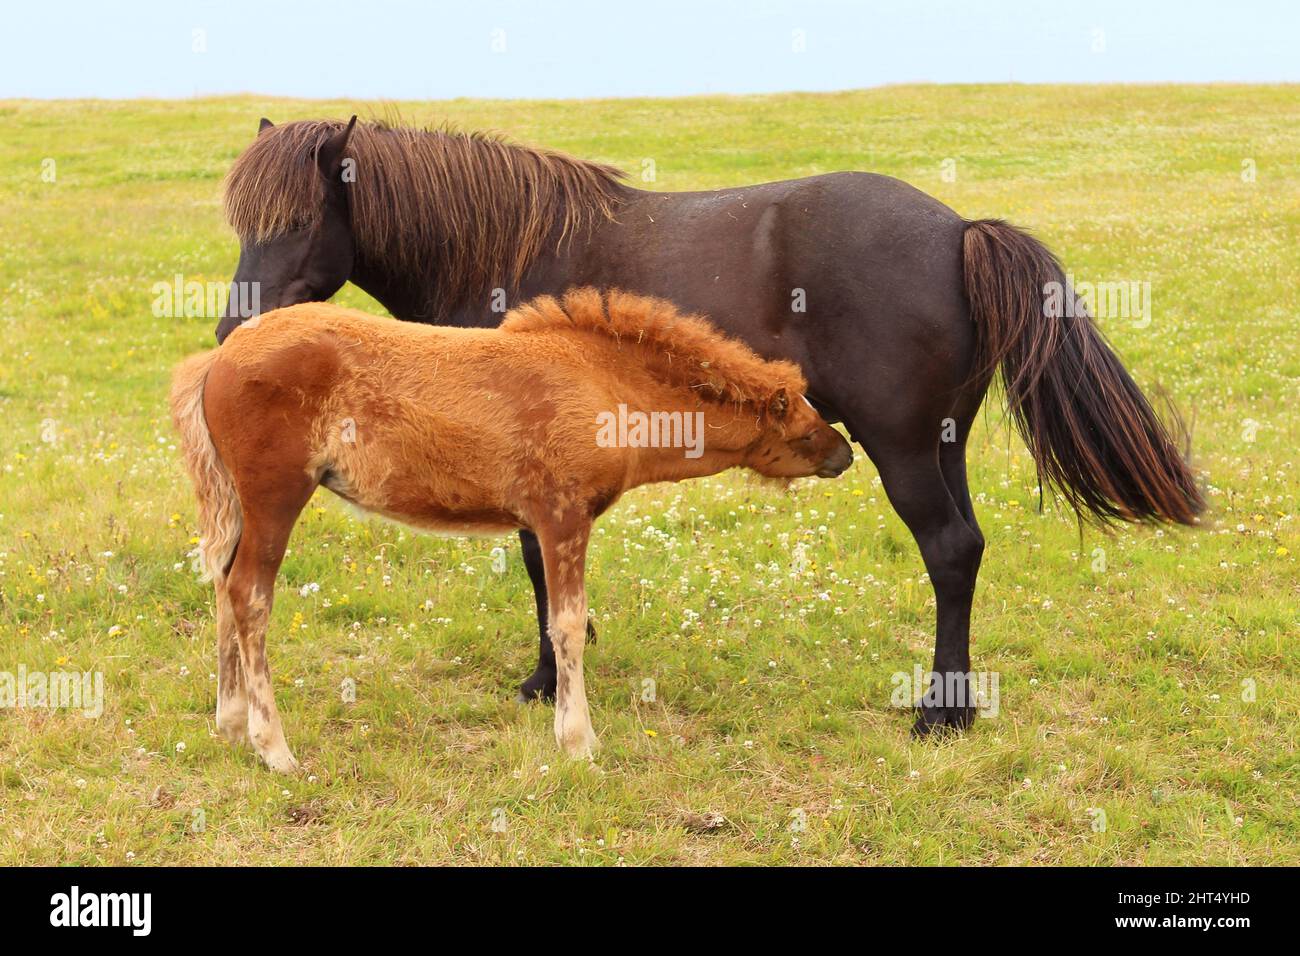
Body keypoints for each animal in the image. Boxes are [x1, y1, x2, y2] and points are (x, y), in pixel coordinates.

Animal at [172, 289, 853, 771]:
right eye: (801, 427)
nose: (844, 453)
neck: (603, 381)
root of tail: (217, 360)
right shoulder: (561, 517)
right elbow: (568, 624)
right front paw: (578, 742)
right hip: (274, 494)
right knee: (249, 595)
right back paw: (273, 747)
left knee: (224, 587)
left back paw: (230, 725)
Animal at [216, 116, 1204, 735]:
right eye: (241, 221)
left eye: (301, 219)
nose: (233, 334)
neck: (505, 253)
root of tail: (958, 229)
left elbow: (537, 565)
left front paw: (545, 679)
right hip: (942, 445)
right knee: (966, 551)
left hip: (900, 448)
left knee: (949, 551)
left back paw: (938, 713)